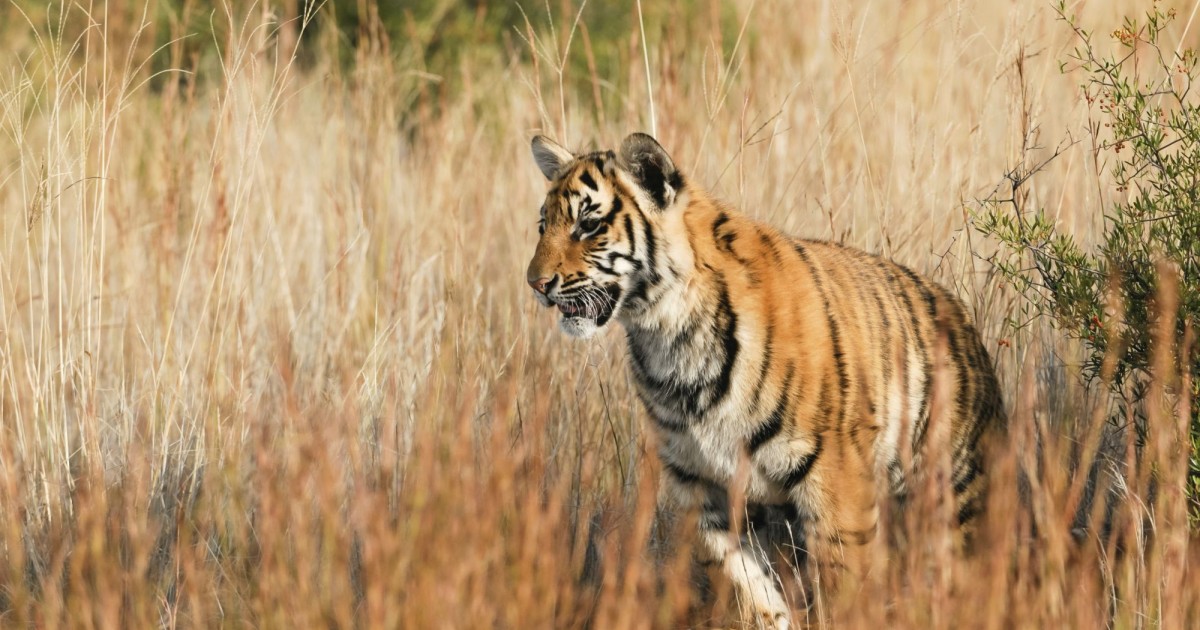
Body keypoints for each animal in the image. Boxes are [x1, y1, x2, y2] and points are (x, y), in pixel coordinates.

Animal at [525, 132, 1005, 628]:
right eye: (543, 225)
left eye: (588, 225)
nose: (535, 284)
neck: (665, 336)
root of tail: (961, 316)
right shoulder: (703, 486)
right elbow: (749, 589)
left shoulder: (837, 480)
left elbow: (843, 586)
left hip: (953, 492)